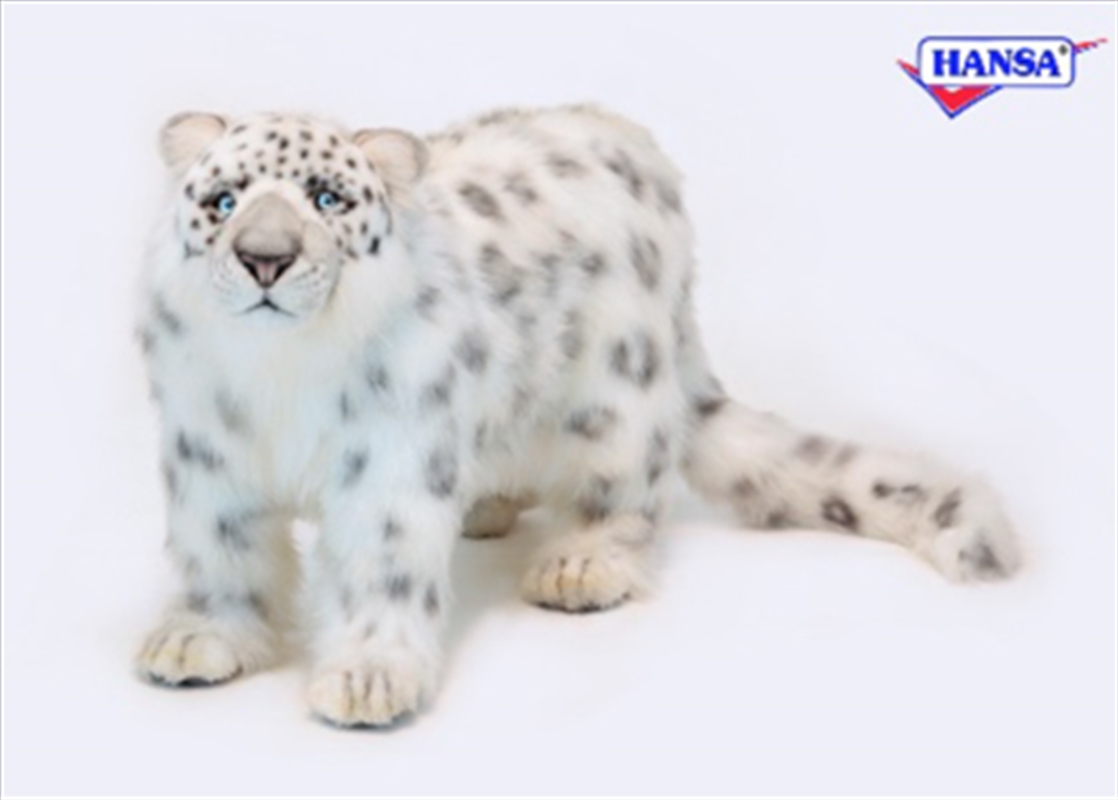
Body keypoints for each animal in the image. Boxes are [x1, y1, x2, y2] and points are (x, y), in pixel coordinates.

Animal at [135, 104, 1020, 728]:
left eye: (328, 197)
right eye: (222, 199)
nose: (266, 257)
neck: (276, 377)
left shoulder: (391, 463)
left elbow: (385, 568)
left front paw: (367, 677)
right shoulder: (205, 454)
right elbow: (221, 555)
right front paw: (198, 639)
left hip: (616, 397)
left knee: (628, 488)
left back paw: (579, 565)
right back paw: (485, 509)